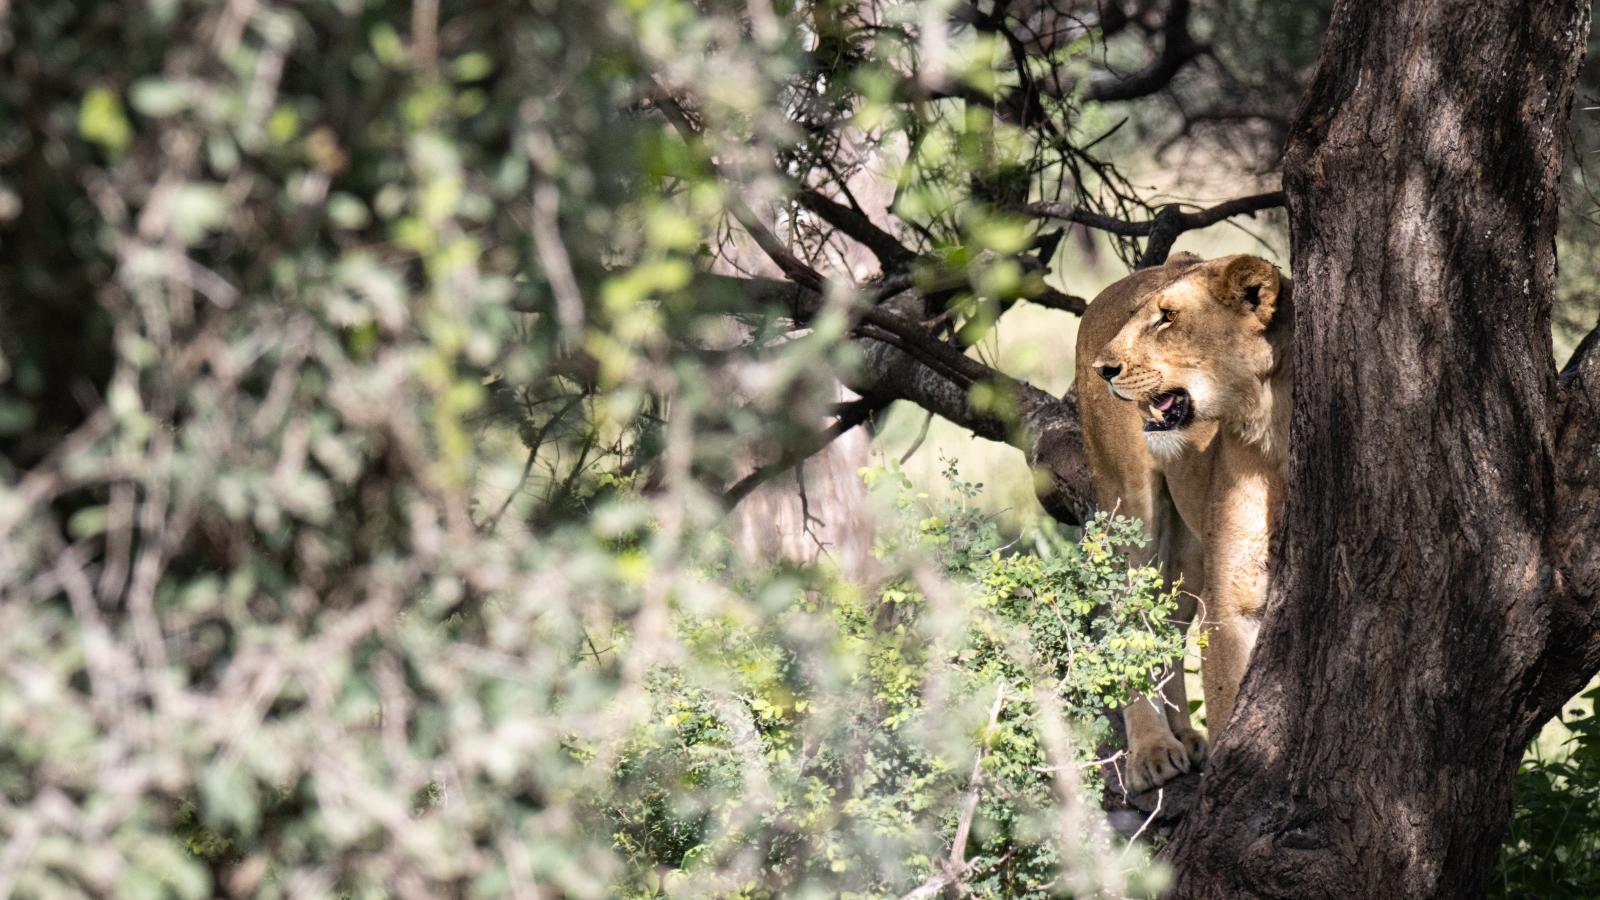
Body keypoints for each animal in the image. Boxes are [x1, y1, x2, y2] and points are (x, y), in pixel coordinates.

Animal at [1074, 252, 1292, 793]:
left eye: (1168, 318)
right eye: (1144, 315)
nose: (1104, 369)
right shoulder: (1232, 600)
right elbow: (1226, 699)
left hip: (1190, 544)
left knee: (1167, 619)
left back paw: (1185, 735)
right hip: (1128, 503)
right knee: (1127, 612)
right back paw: (1152, 752)